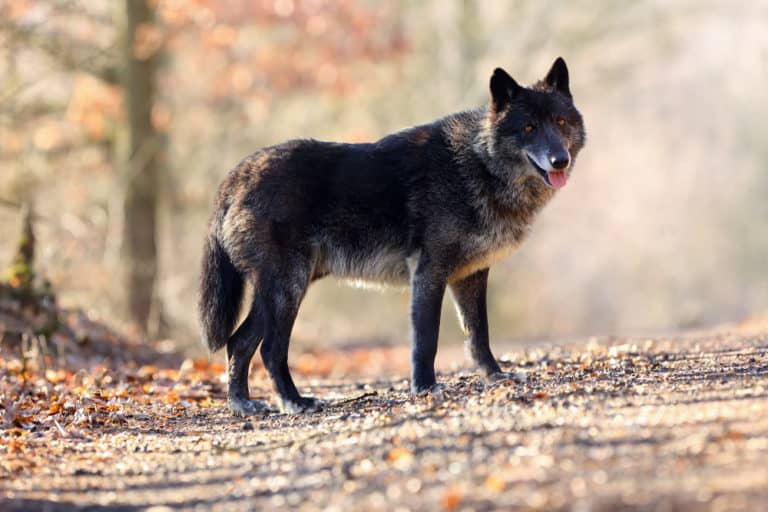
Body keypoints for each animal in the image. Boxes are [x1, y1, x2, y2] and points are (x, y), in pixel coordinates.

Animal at [199, 57, 586, 416]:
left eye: (561, 123)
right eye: (529, 127)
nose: (560, 160)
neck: (479, 164)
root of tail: (235, 176)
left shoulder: (471, 276)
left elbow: (479, 335)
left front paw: (495, 377)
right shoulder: (429, 272)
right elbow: (426, 339)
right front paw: (425, 388)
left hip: (279, 291)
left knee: (238, 342)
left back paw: (243, 405)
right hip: (288, 289)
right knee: (270, 349)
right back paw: (294, 401)